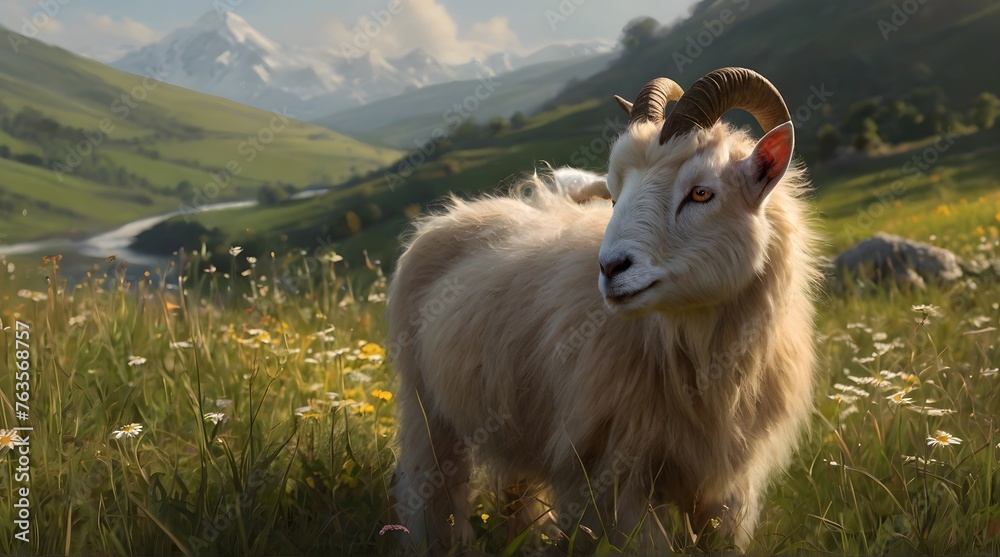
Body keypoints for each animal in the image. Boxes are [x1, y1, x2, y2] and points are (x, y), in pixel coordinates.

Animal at [386, 67, 821, 552]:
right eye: (613, 197)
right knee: (429, 488)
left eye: (701, 193)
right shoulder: (612, 478)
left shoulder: (729, 486)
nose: (611, 269)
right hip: (427, 408)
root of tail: (453, 213)